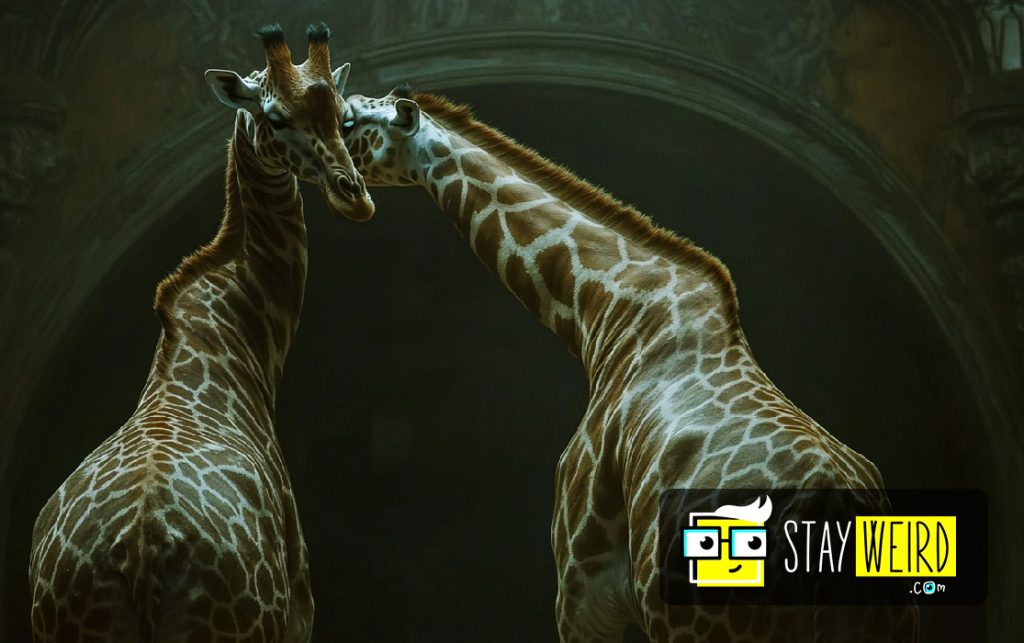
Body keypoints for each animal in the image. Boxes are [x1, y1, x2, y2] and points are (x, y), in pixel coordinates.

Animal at [28, 24, 371, 643]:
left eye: (340, 113)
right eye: (274, 117)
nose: (352, 193)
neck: (237, 339)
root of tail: (140, 549)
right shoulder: (300, 611)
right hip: (242, 622)